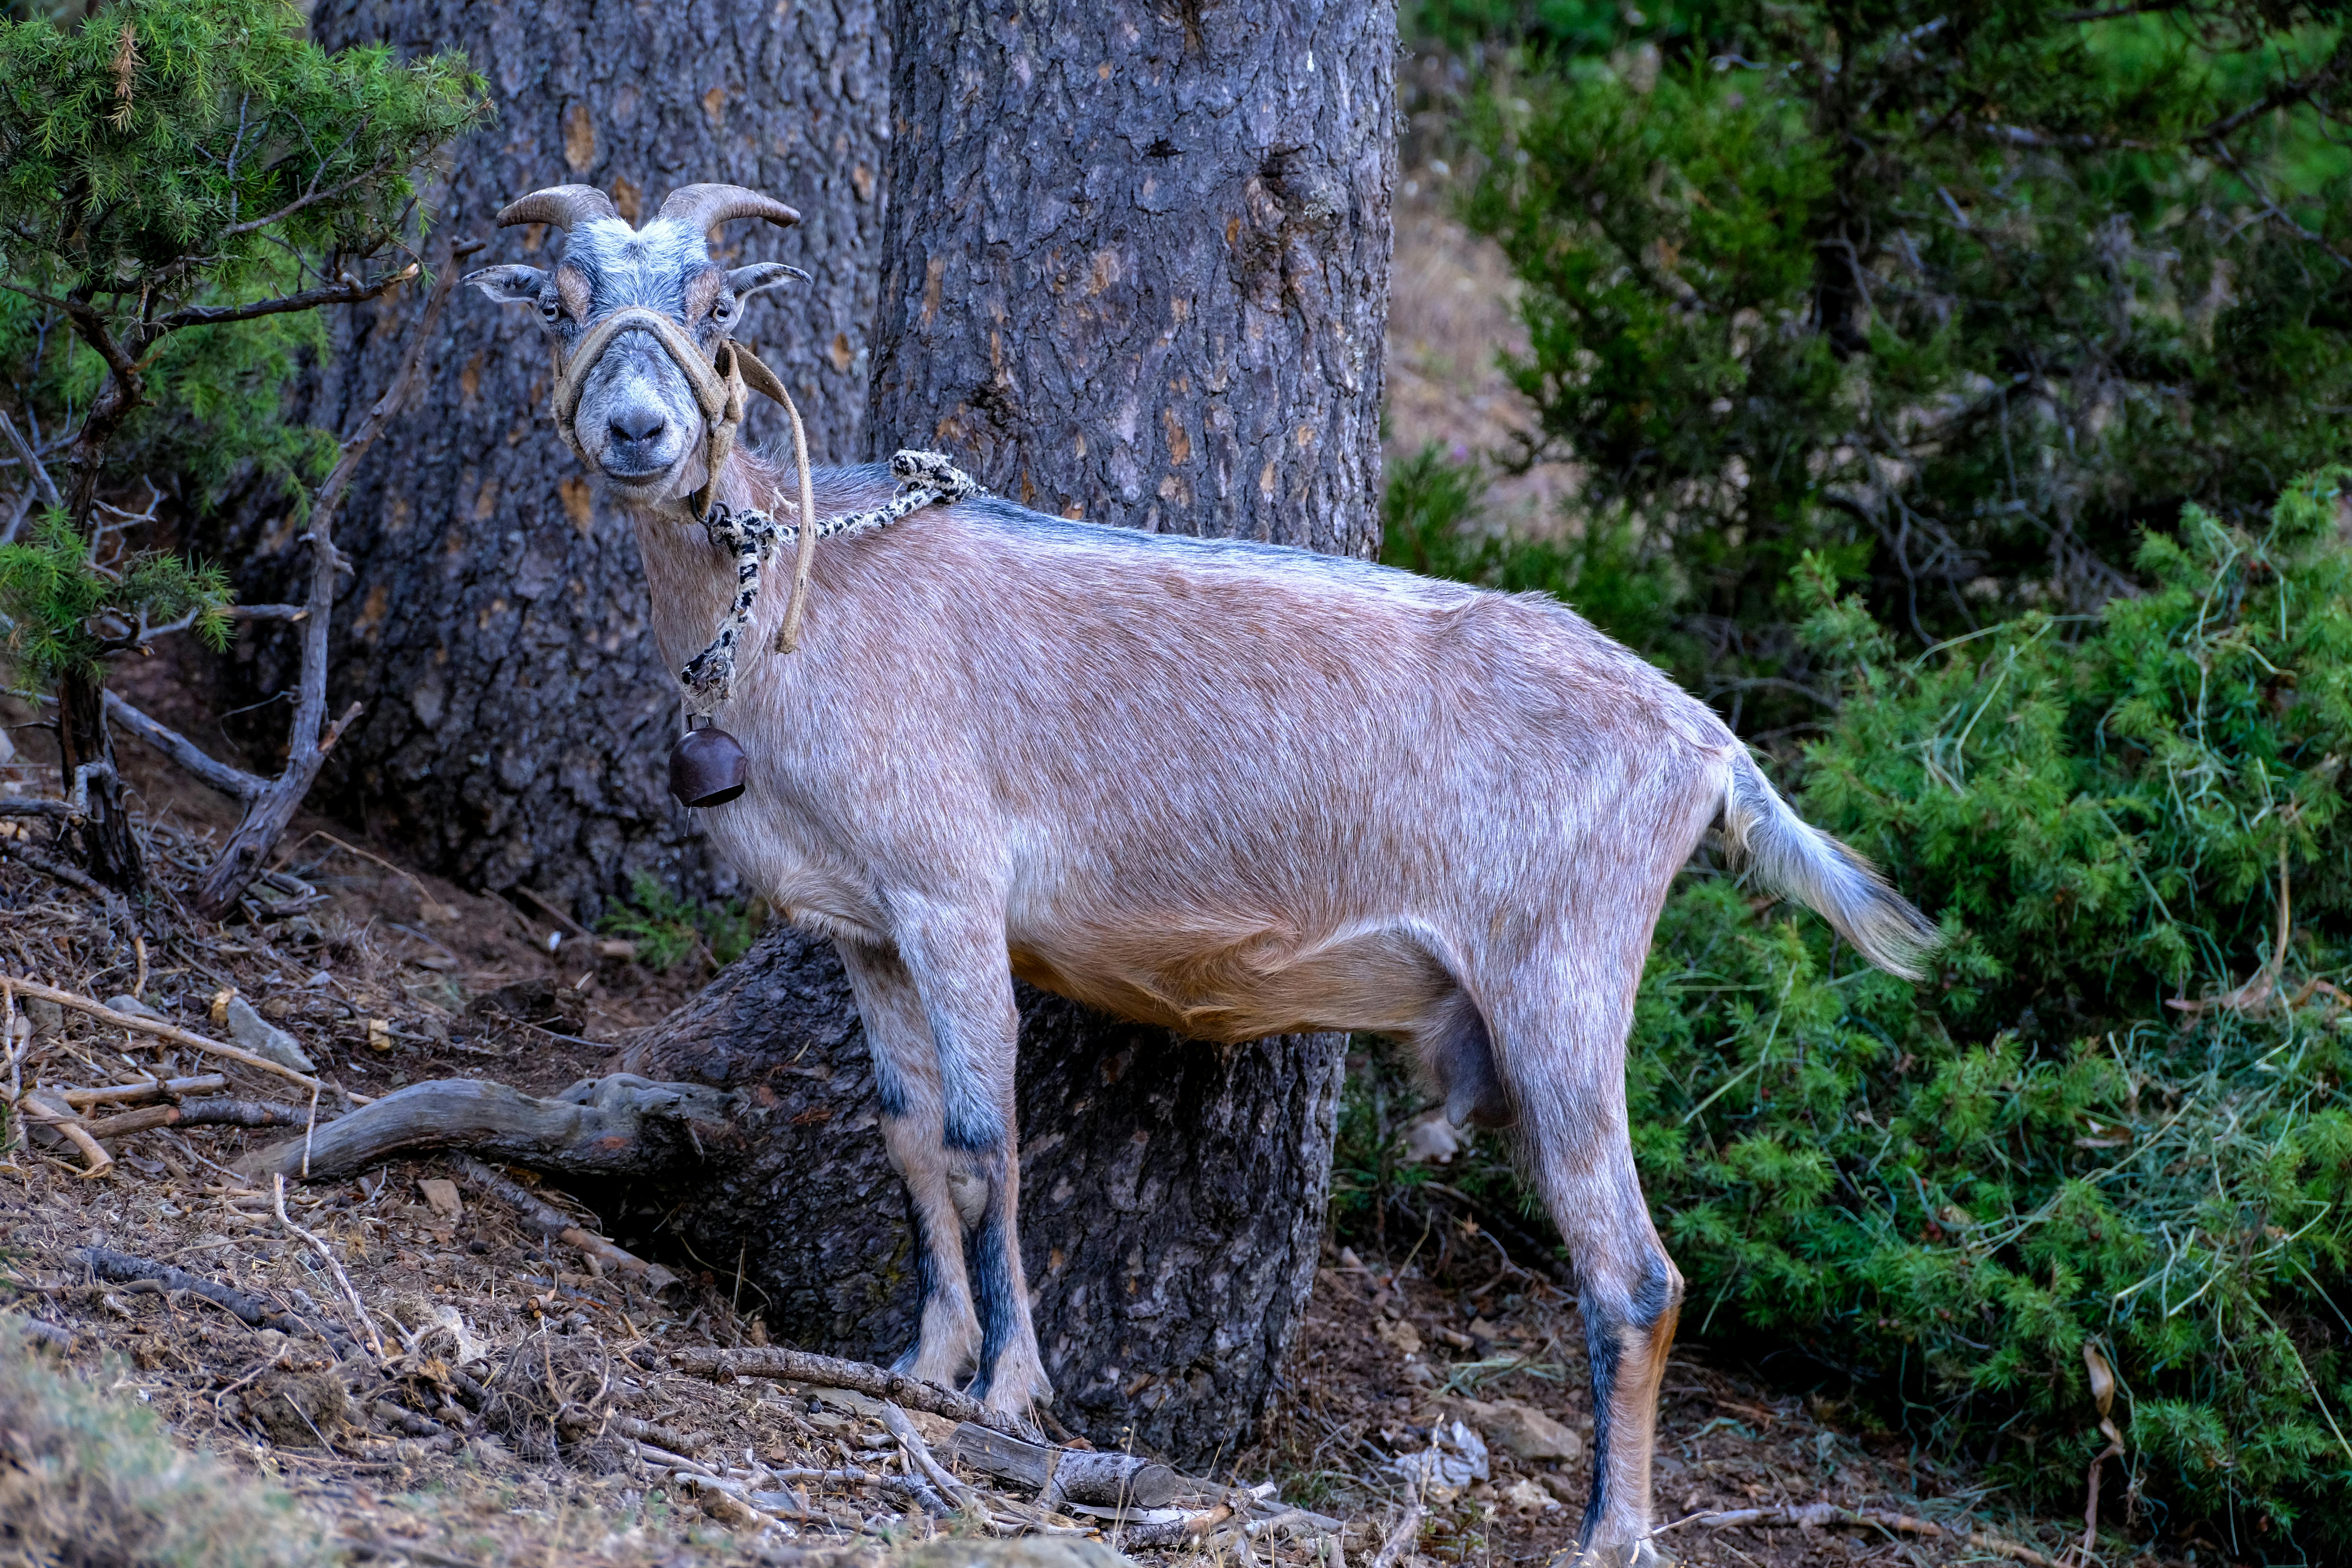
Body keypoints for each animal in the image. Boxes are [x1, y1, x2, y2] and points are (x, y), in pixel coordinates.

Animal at [467, 182, 1936, 1564]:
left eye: (719, 308)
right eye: (561, 304)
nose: (639, 433)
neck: (809, 597)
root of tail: (1705, 744)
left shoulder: (953, 898)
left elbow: (985, 1141)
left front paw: (1007, 1393)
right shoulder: (866, 928)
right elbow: (907, 1135)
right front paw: (917, 1365)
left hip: (1564, 975)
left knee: (1636, 1274)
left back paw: (1610, 1534)